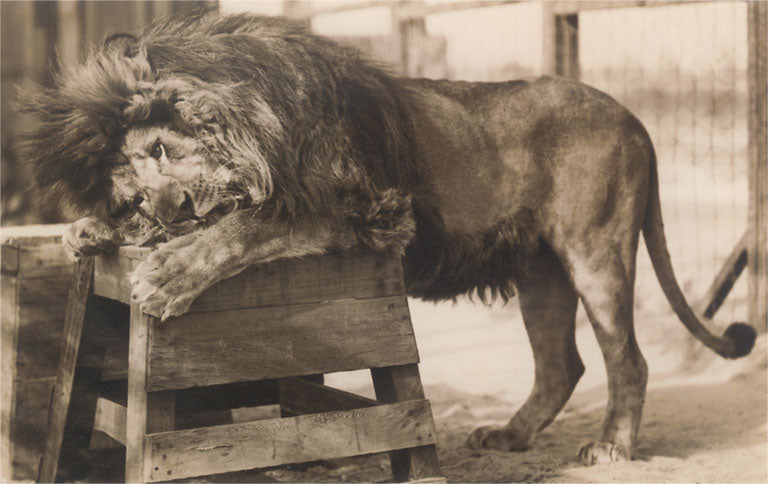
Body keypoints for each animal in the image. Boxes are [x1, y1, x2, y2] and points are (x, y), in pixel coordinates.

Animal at [22, 11, 755, 465]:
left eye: (162, 149)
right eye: (131, 187)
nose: (169, 207)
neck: (257, 119)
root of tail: (633, 115)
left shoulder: (359, 211)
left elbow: (246, 227)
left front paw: (168, 273)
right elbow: (211, 222)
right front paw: (91, 229)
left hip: (594, 251)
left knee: (626, 360)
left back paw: (611, 448)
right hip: (540, 272)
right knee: (561, 366)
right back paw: (508, 435)